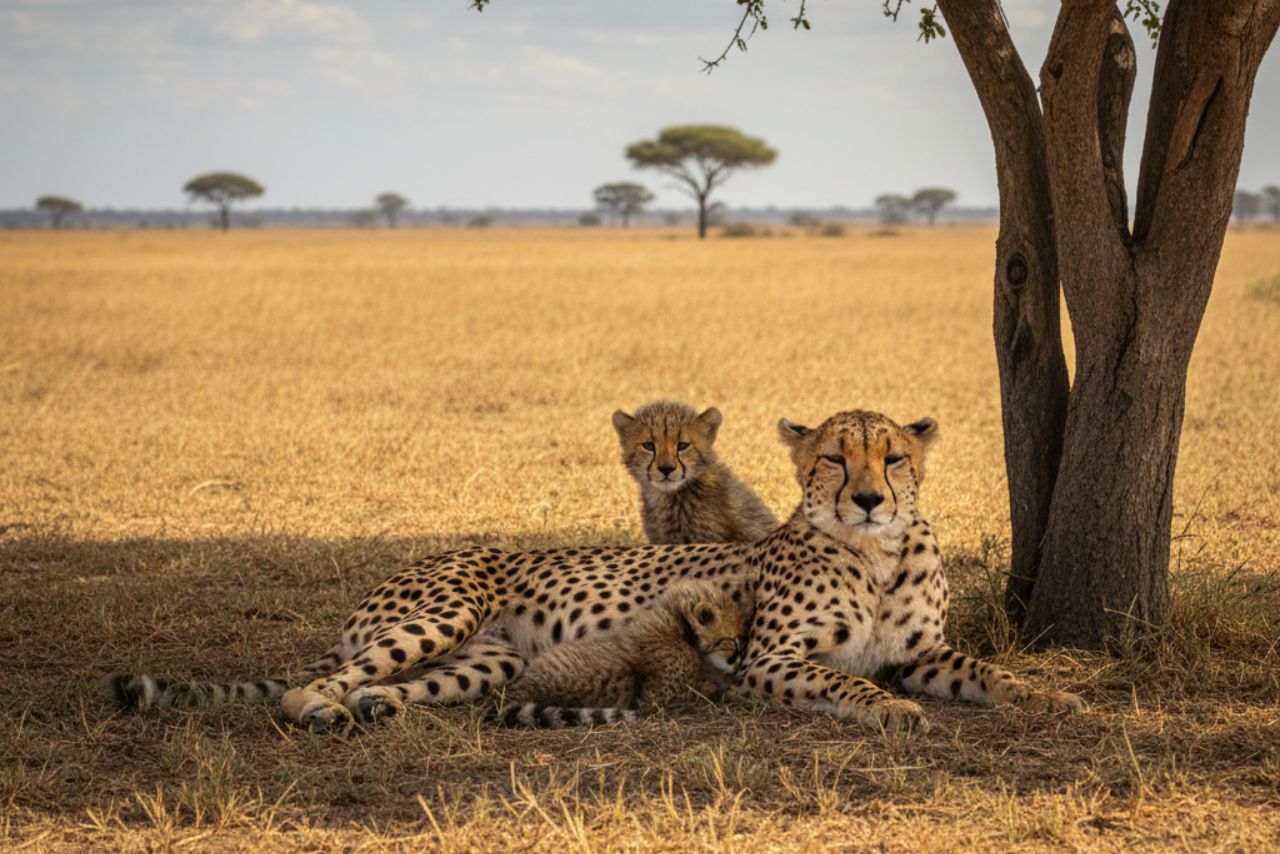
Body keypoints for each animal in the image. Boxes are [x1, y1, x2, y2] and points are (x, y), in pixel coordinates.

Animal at [493, 578, 746, 728]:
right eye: (732, 640)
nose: (737, 662)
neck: (677, 620)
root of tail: (517, 692)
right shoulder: (655, 699)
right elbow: (701, 692)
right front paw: (717, 687)